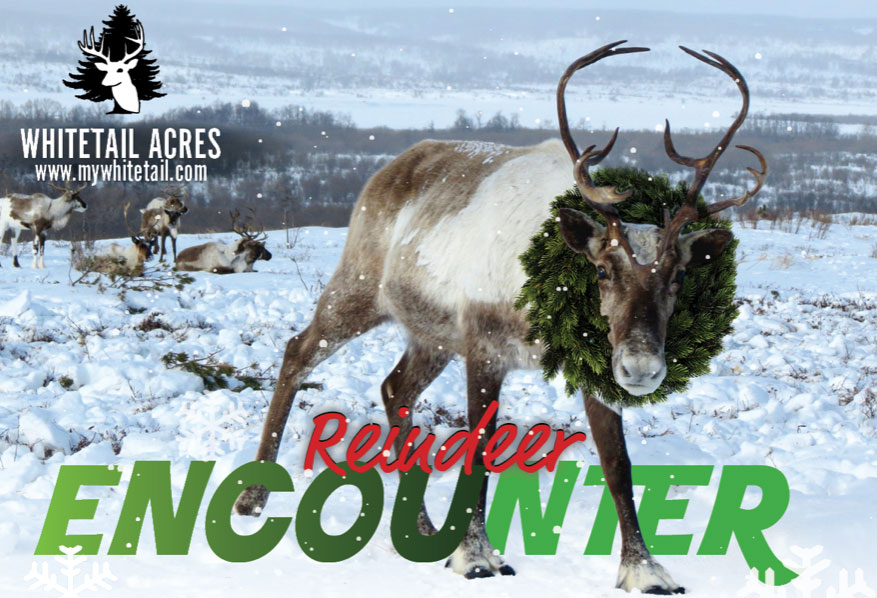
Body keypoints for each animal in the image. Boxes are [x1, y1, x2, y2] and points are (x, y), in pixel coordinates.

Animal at [233, 41, 766, 594]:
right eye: (601, 269)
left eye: (679, 275)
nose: (640, 368)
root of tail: (389, 168)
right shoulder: (485, 347)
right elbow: (479, 448)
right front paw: (476, 556)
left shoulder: (590, 366)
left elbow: (617, 463)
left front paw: (645, 569)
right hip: (358, 289)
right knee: (298, 351)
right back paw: (253, 497)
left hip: (433, 335)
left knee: (394, 388)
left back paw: (423, 528)